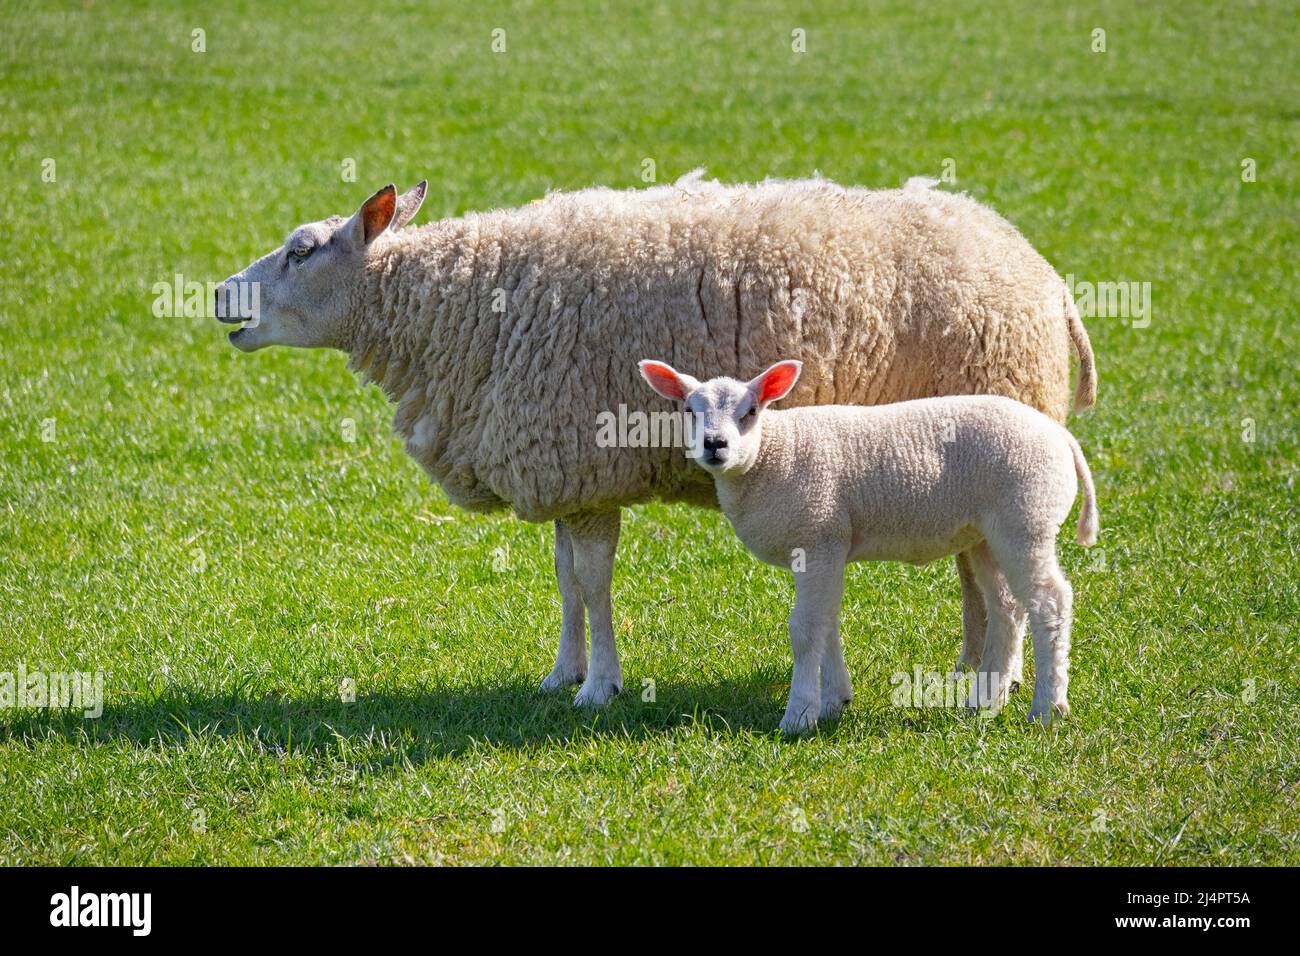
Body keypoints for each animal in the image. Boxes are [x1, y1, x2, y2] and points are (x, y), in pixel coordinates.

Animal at [638, 358, 1098, 733]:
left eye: (749, 412)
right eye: (690, 410)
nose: (715, 445)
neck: (773, 453)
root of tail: (1061, 436)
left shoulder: (817, 534)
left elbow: (805, 629)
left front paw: (798, 716)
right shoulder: (825, 544)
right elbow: (826, 621)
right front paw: (833, 702)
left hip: (1027, 518)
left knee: (1050, 602)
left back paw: (1048, 709)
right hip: (988, 533)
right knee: (1006, 607)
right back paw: (985, 702)